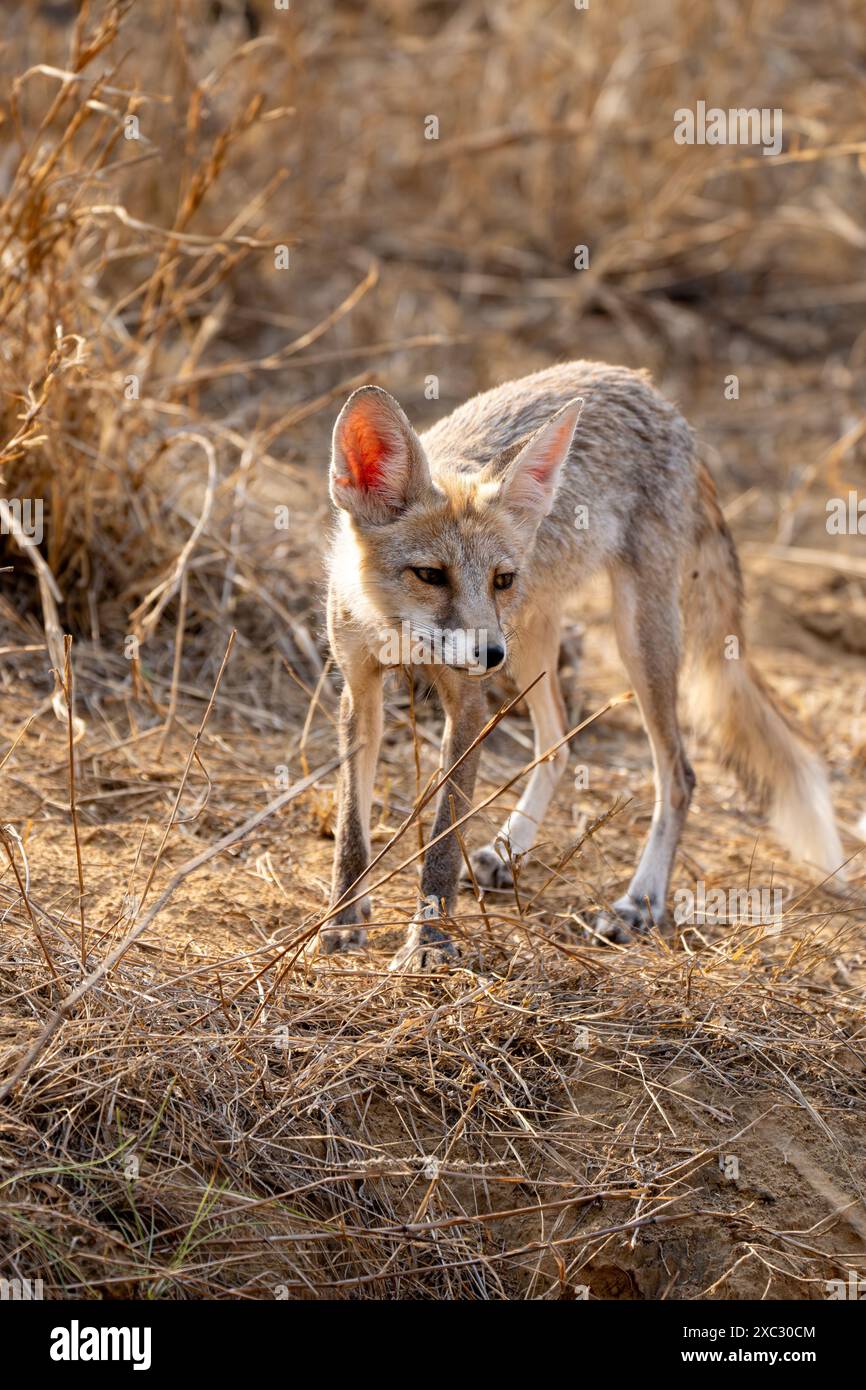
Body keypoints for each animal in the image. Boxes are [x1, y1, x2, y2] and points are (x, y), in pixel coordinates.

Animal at [322, 362, 845, 970]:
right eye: (430, 575)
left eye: (501, 579)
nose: (487, 655)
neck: (395, 633)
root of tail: (646, 387)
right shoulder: (358, 691)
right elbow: (350, 828)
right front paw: (342, 918)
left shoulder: (468, 704)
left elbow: (444, 841)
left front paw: (430, 942)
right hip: (532, 643)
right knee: (559, 744)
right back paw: (509, 849)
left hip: (634, 639)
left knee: (680, 776)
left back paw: (640, 901)